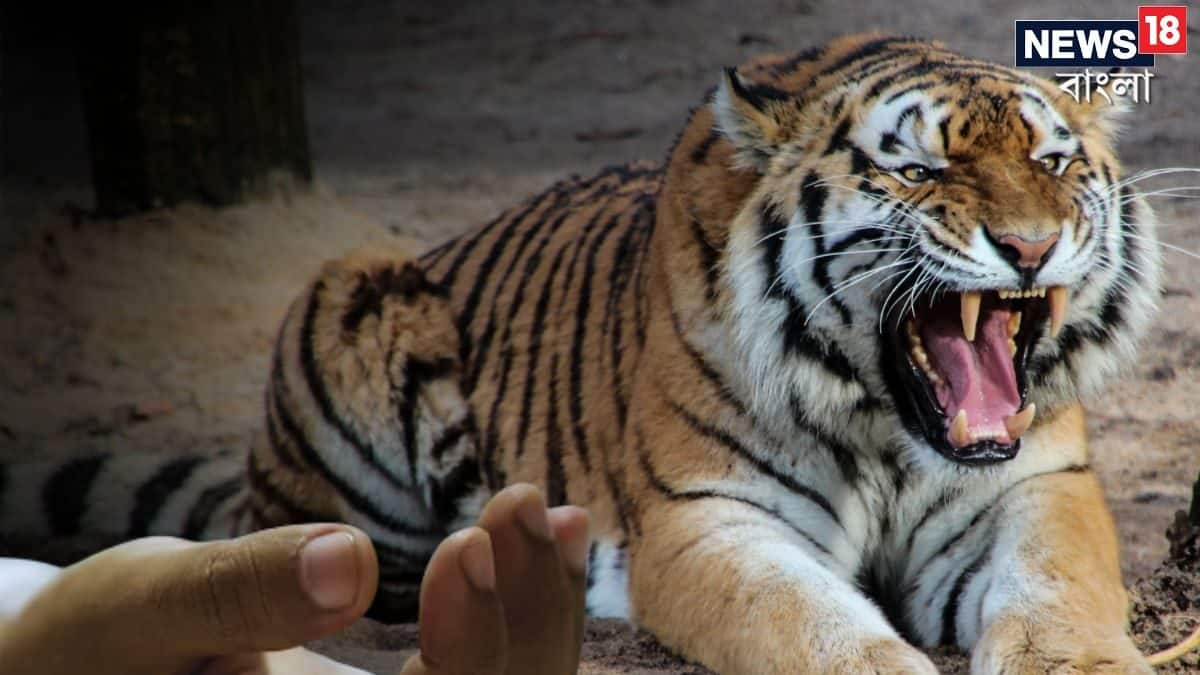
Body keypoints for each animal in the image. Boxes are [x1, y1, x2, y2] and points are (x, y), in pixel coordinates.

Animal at [0, 33, 1173, 673]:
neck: (889, 424)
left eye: (1054, 164)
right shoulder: (708, 518)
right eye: (921, 172)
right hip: (350, 296)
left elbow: (1060, 593)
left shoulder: (1038, 485)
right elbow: (805, 624)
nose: (1029, 246)